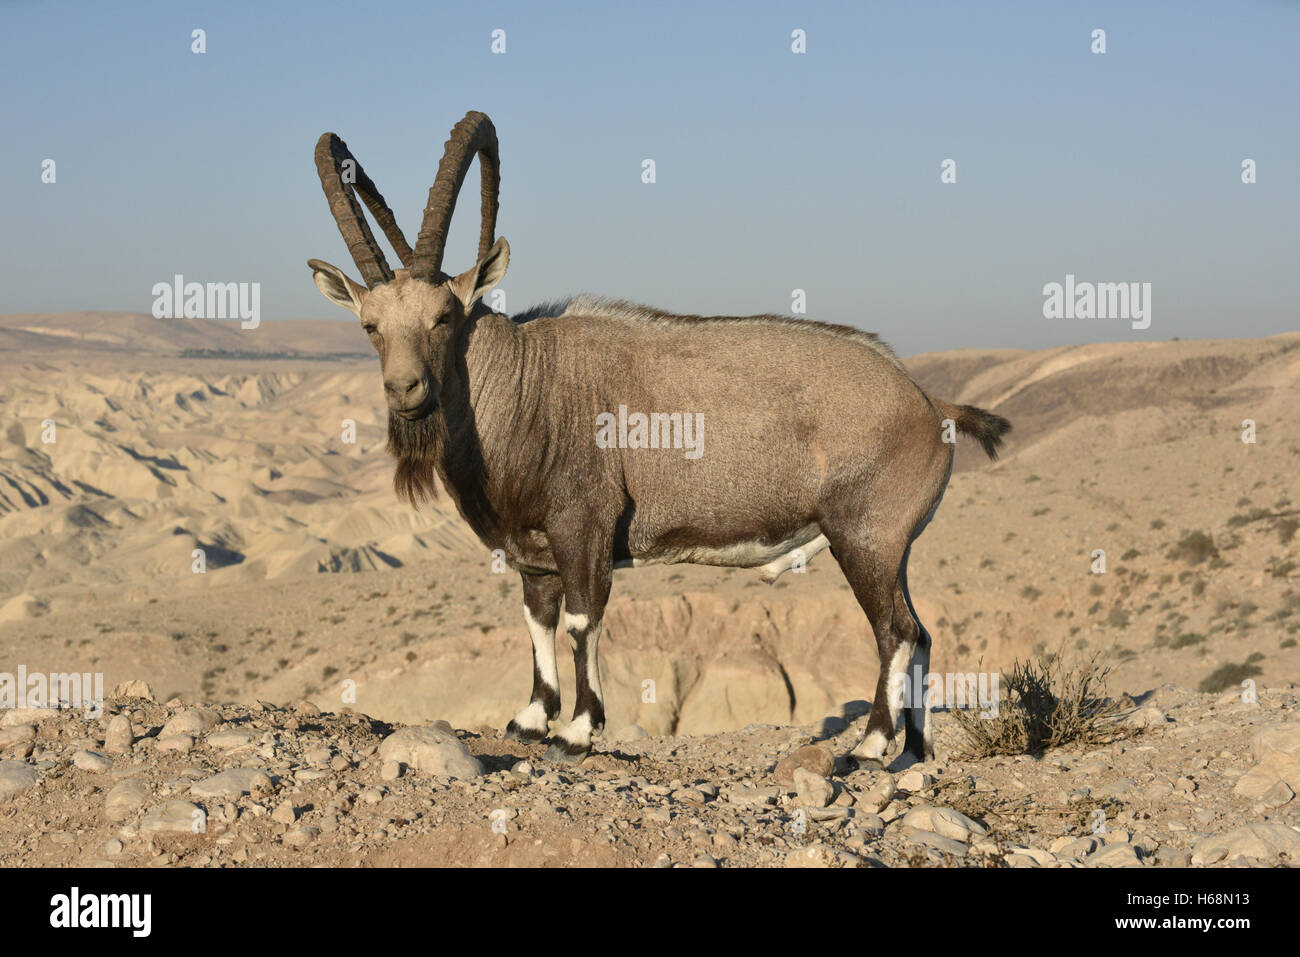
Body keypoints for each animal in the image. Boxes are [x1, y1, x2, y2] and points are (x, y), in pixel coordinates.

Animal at [307, 111, 1011, 766]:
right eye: (370, 325)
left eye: (443, 316)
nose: (405, 390)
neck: (525, 383)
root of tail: (931, 405)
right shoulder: (535, 550)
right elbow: (538, 618)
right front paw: (531, 720)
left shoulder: (584, 524)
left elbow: (581, 618)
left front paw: (579, 731)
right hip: (895, 548)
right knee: (920, 632)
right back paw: (913, 750)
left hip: (863, 539)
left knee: (894, 631)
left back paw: (868, 746)